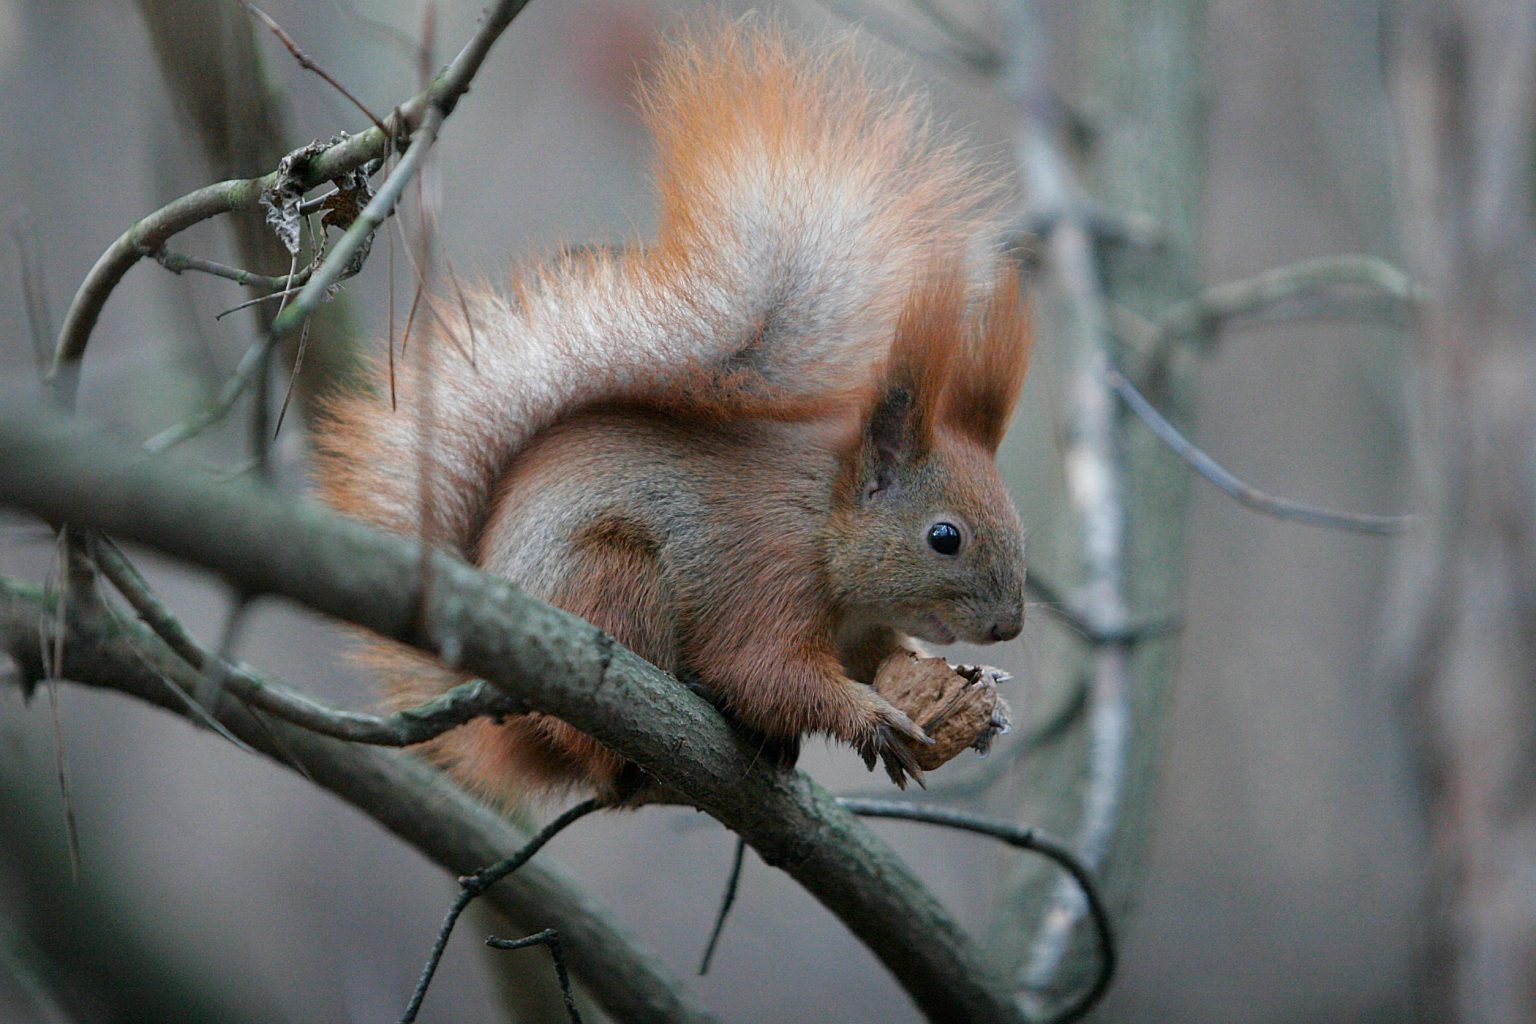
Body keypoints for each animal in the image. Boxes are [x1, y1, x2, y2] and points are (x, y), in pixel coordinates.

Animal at [312, 21, 1033, 799]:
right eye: (944, 537)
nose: (1010, 627)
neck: (824, 525)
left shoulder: (861, 627)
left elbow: (873, 655)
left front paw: (979, 697)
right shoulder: (766, 577)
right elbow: (767, 673)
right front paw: (870, 718)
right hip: (610, 581)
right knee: (603, 745)